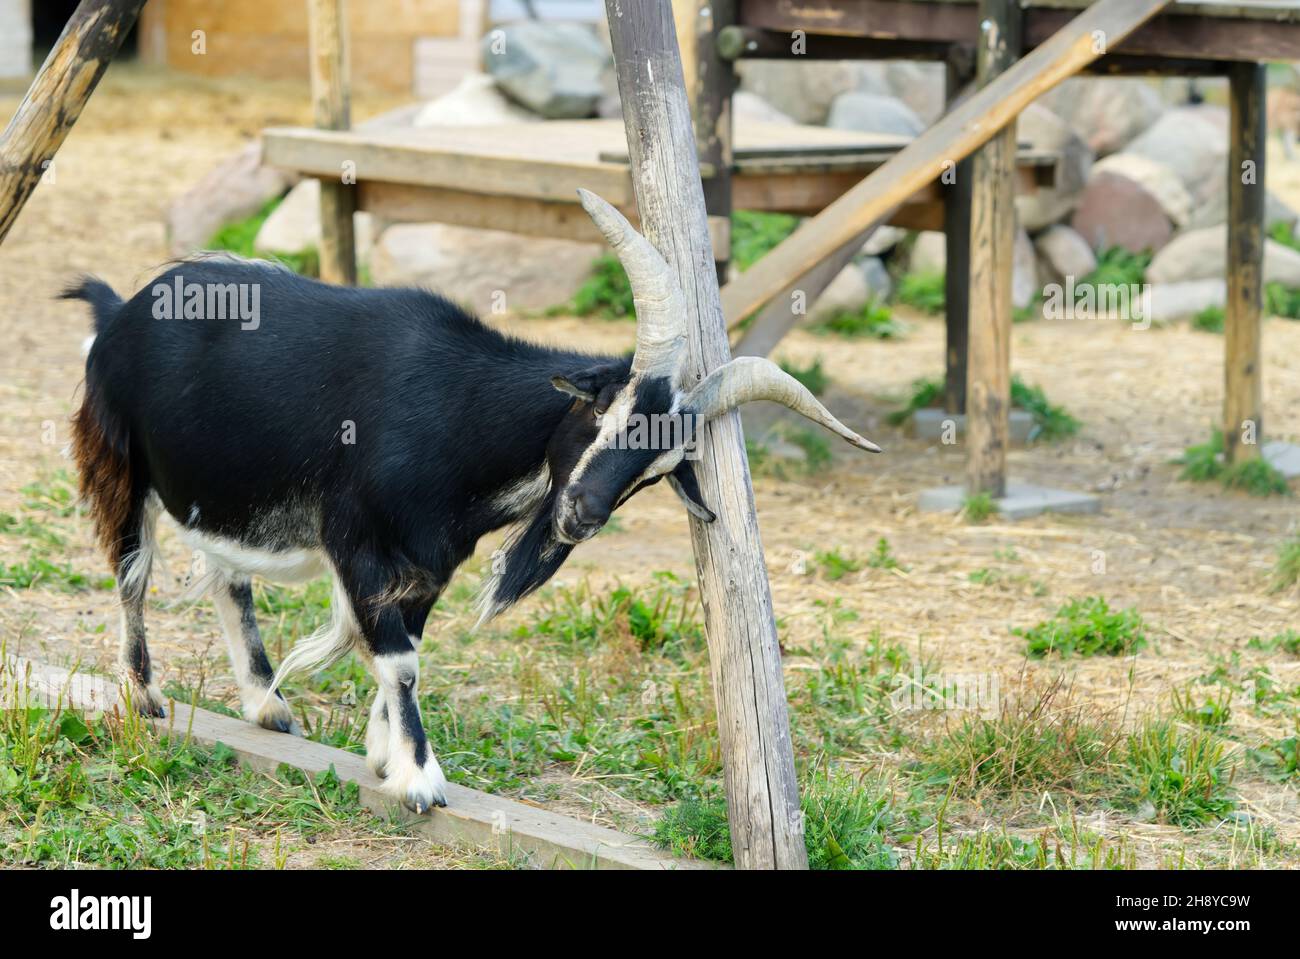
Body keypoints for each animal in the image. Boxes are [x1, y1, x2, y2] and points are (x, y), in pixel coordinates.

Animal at [65, 190, 879, 812]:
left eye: (659, 470)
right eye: (602, 410)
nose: (581, 515)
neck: (455, 414)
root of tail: (120, 310)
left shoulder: (431, 562)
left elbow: (408, 650)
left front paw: (384, 755)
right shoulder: (357, 541)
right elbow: (398, 661)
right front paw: (421, 780)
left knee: (227, 578)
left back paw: (266, 702)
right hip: (120, 462)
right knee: (132, 570)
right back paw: (145, 695)